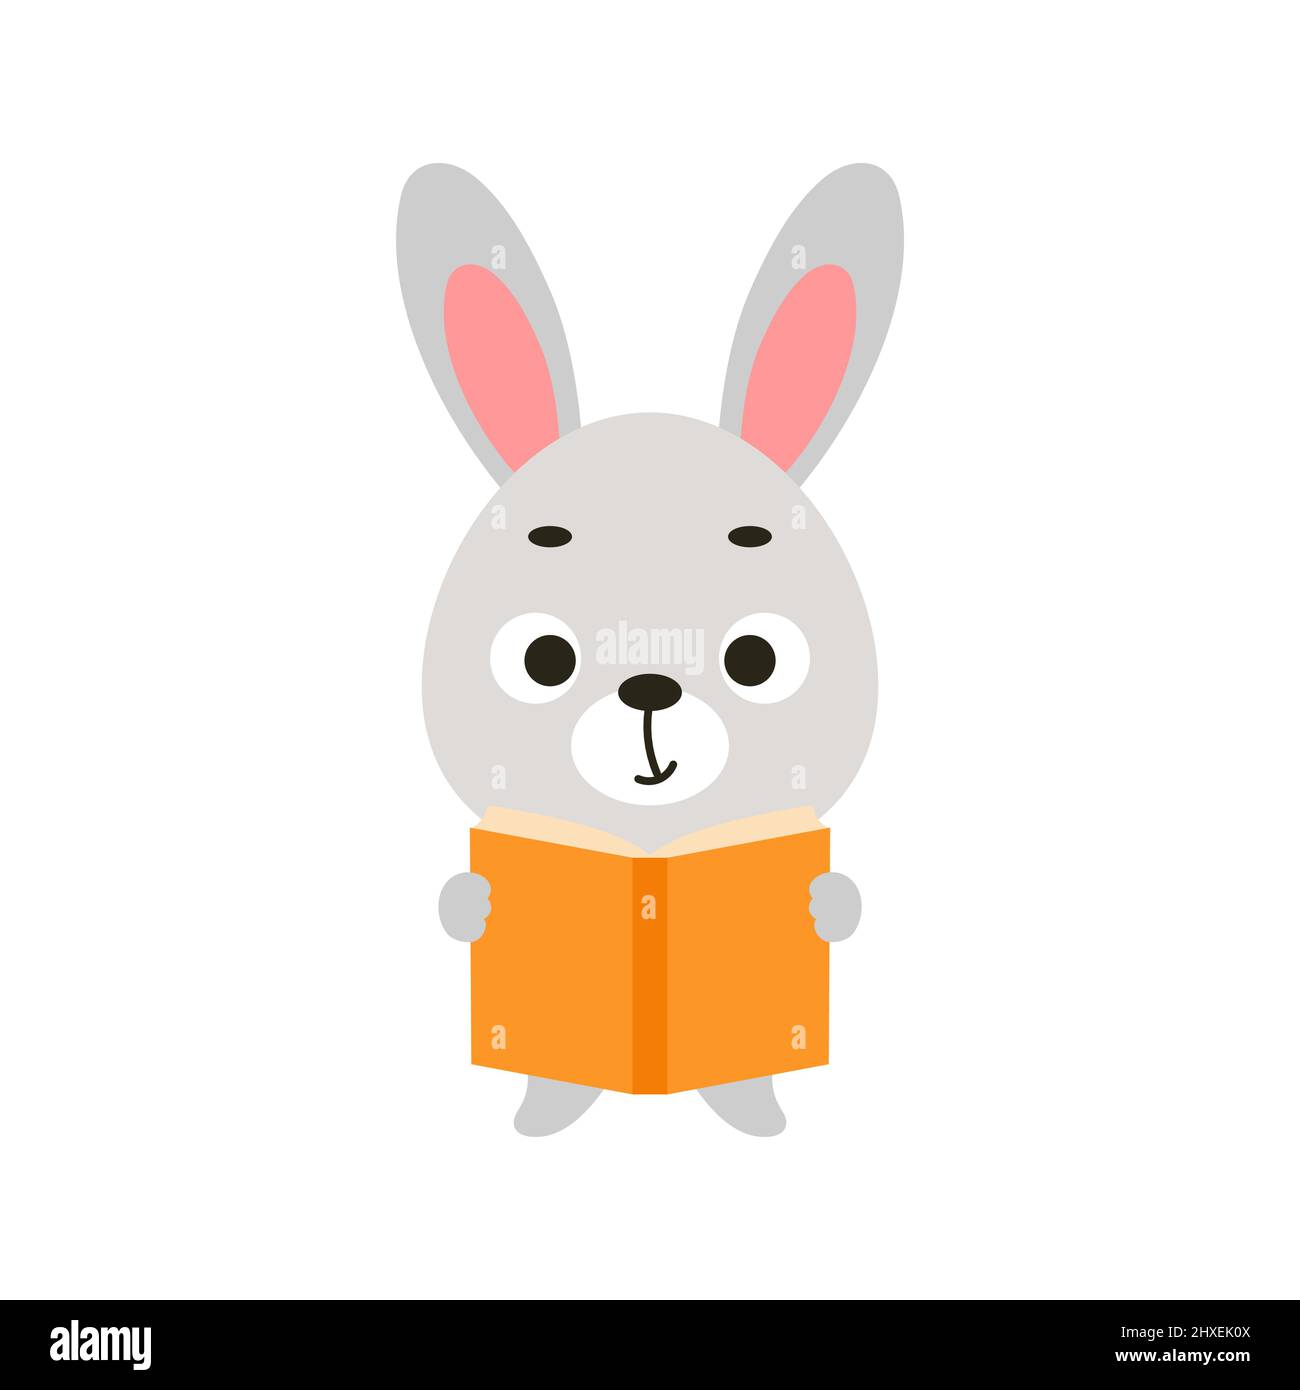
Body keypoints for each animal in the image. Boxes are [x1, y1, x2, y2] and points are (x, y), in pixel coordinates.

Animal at [398, 163, 903, 1137]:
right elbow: (459, 906)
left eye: (757, 660)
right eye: (542, 660)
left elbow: (840, 906)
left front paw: (821, 900)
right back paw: (546, 1112)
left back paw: (753, 1112)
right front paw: (478, 901)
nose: (649, 692)